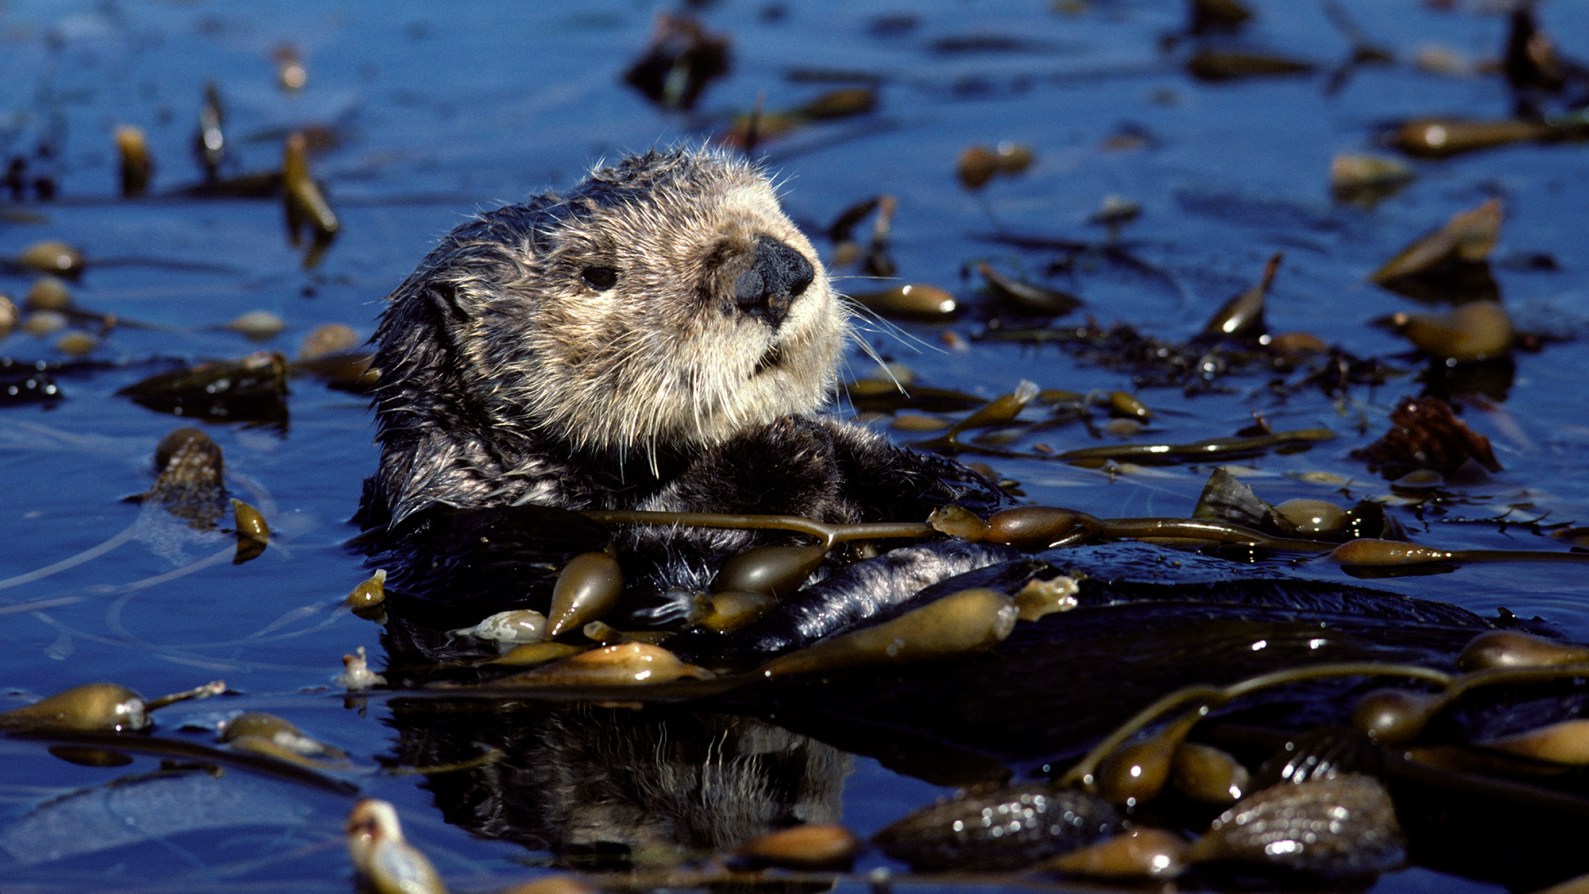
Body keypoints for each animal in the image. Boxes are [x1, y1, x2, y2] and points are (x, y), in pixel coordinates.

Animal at [360, 148, 1007, 625]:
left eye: (768, 207)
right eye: (597, 274)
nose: (772, 271)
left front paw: (845, 446)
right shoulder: (482, 551)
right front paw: (778, 452)